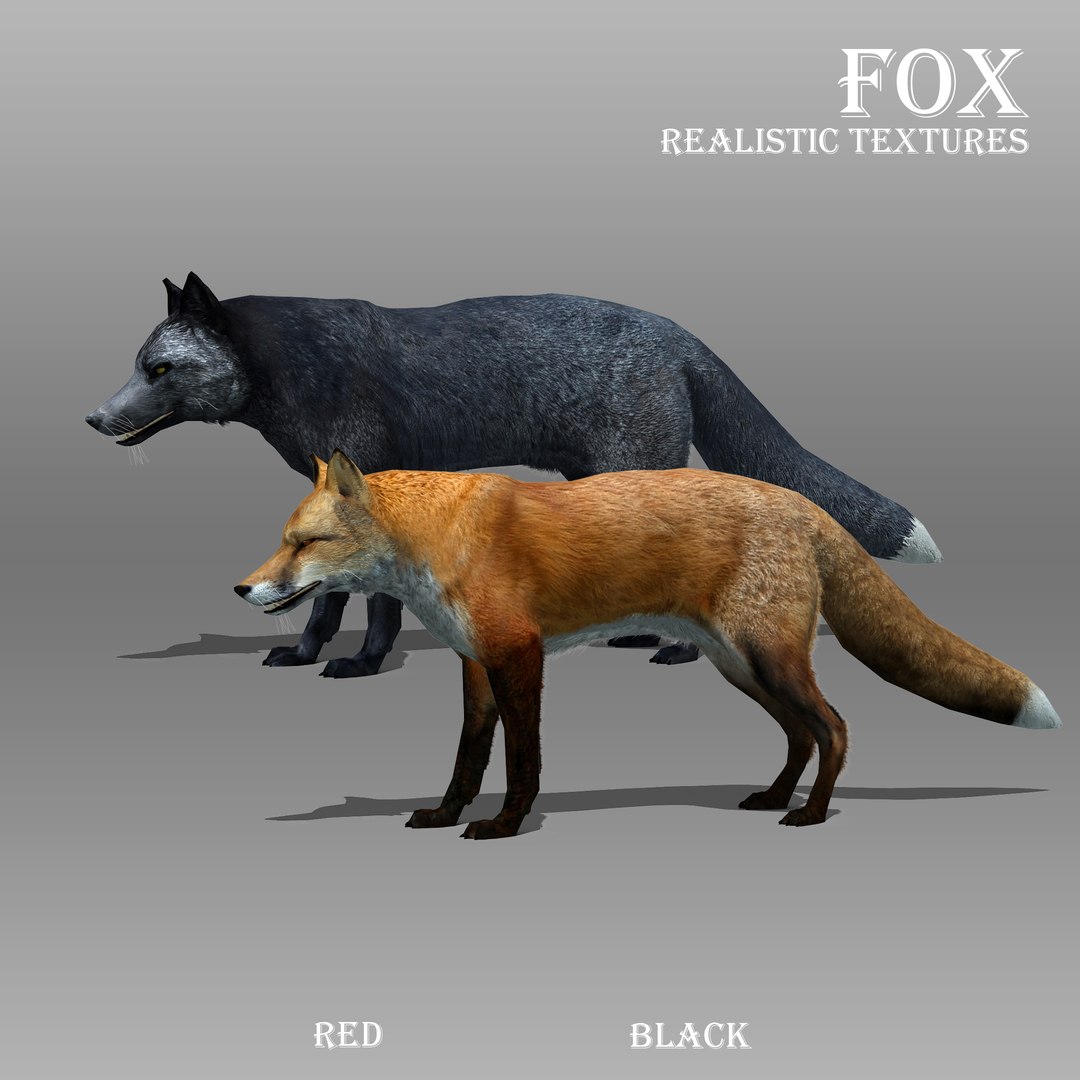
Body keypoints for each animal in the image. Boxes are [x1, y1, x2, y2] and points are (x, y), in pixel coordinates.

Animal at [88, 273, 941, 679]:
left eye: (160, 369)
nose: (95, 418)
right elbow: (325, 597)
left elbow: (372, 603)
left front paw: (362, 664)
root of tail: (679, 332)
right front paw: (303, 655)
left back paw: (674, 653)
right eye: (137, 364)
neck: (297, 368)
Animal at [235, 451, 1058, 838]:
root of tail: (799, 502)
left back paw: (811, 814)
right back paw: (773, 796)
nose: (243, 589)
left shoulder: (519, 654)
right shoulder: (476, 663)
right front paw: (445, 815)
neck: (437, 540)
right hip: (742, 667)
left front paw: (503, 825)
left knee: (836, 728)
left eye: (304, 544)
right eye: (282, 541)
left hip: (767, 658)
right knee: (801, 734)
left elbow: (522, 761)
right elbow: (468, 759)